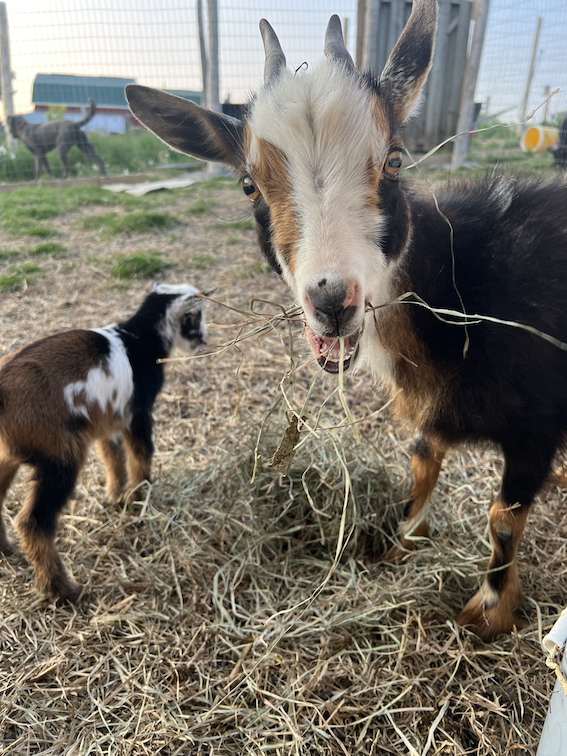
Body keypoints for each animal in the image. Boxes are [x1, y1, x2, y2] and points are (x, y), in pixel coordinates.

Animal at [0, 283, 208, 601]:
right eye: (196, 316)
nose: (205, 339)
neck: (138, 339)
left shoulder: (106, 419)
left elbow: (113, 456)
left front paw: (115, 495)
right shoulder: (138, 413)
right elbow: (141, 453)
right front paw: (139, 495)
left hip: (10, 453)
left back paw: (7, 550)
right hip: (59, 453)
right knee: (34, 521)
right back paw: (61, 590)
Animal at [125, 0, 567, 640]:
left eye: (394, 159)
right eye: (248, 183)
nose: (333, 301)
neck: (465, 283)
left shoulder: (537, 421)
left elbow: (502, 518)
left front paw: (486, 615)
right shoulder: (433, 410)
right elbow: (421, 464)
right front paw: (399, 546)